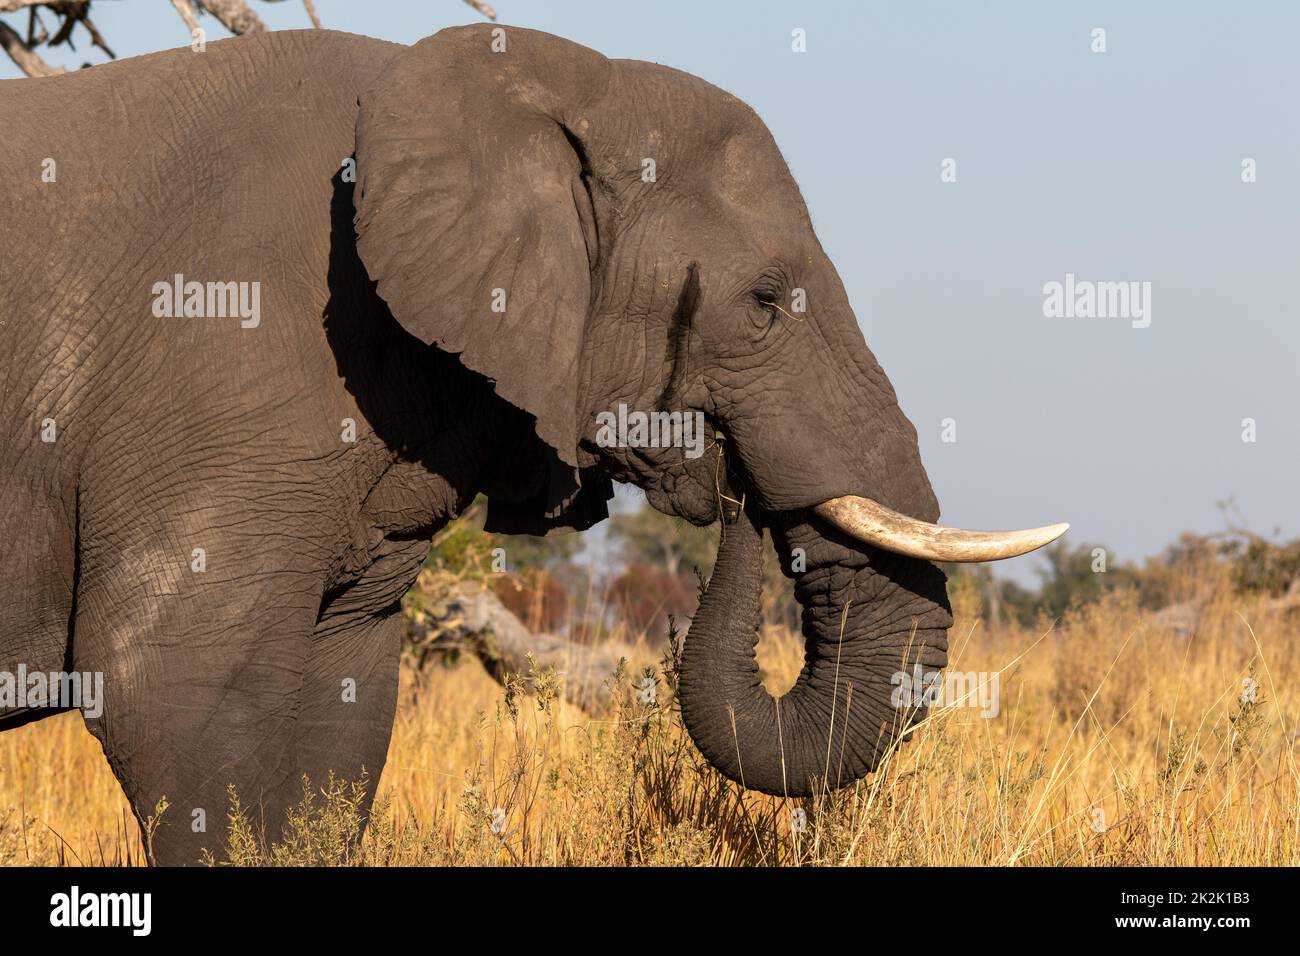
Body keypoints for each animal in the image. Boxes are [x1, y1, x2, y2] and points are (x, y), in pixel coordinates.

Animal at [0, 24, 1066, 865]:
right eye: (765, 302)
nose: (731, 491)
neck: (539, 81)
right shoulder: (226, 354)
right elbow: (170, 681)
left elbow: (341, 705)